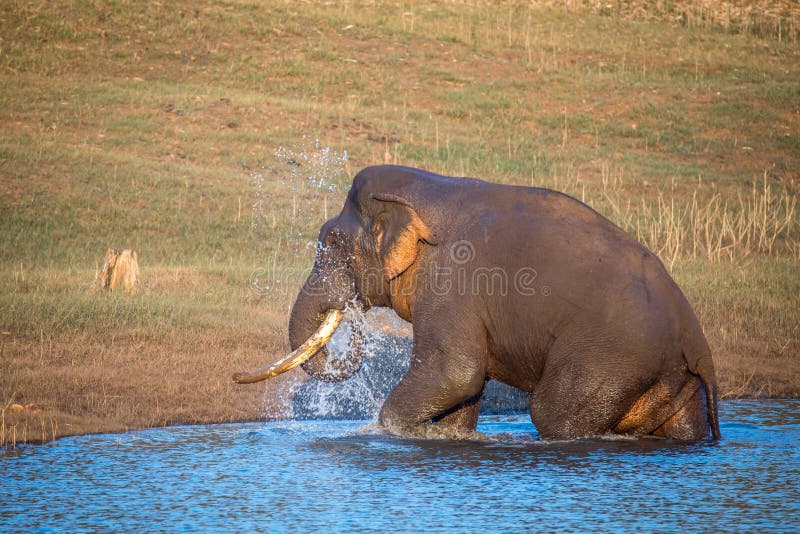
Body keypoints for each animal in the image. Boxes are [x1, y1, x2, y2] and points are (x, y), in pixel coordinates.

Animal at [234, 165, 721, 441]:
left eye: (331, 241)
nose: (236, 376)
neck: (432, 188)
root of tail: (697, 341)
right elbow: (462, 391)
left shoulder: (454, 283)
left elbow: (456, 371)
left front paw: (385, 433)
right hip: (670, 377)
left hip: (611, 358)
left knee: (553, 413)